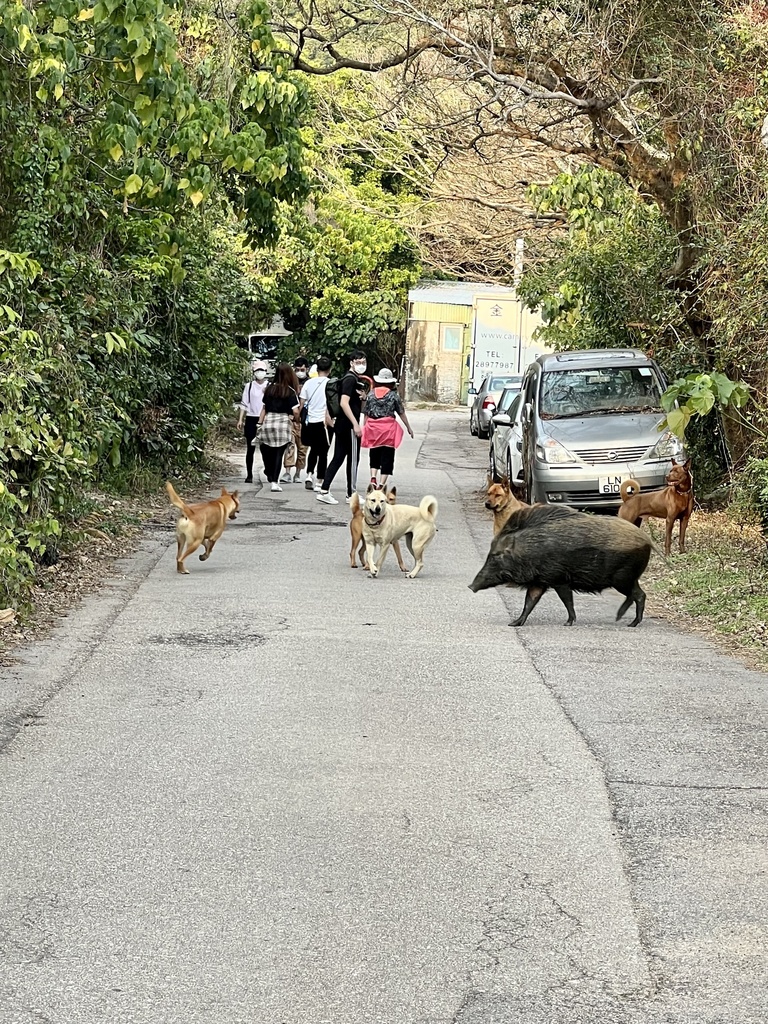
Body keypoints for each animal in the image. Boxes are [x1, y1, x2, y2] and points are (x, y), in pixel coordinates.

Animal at [468, 504, 653, 627]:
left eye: (496, 555)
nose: (470, 586)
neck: (530, 550)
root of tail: (647, 540)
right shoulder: (540, 581)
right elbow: (530, 600)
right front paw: (514, 623)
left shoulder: (559, 579)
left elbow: (566, 600)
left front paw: (568, 623)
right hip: (628, 578)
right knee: (638, 595)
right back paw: (625, 621)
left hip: (622, 578)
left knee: (638, 595)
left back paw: (627, 622)